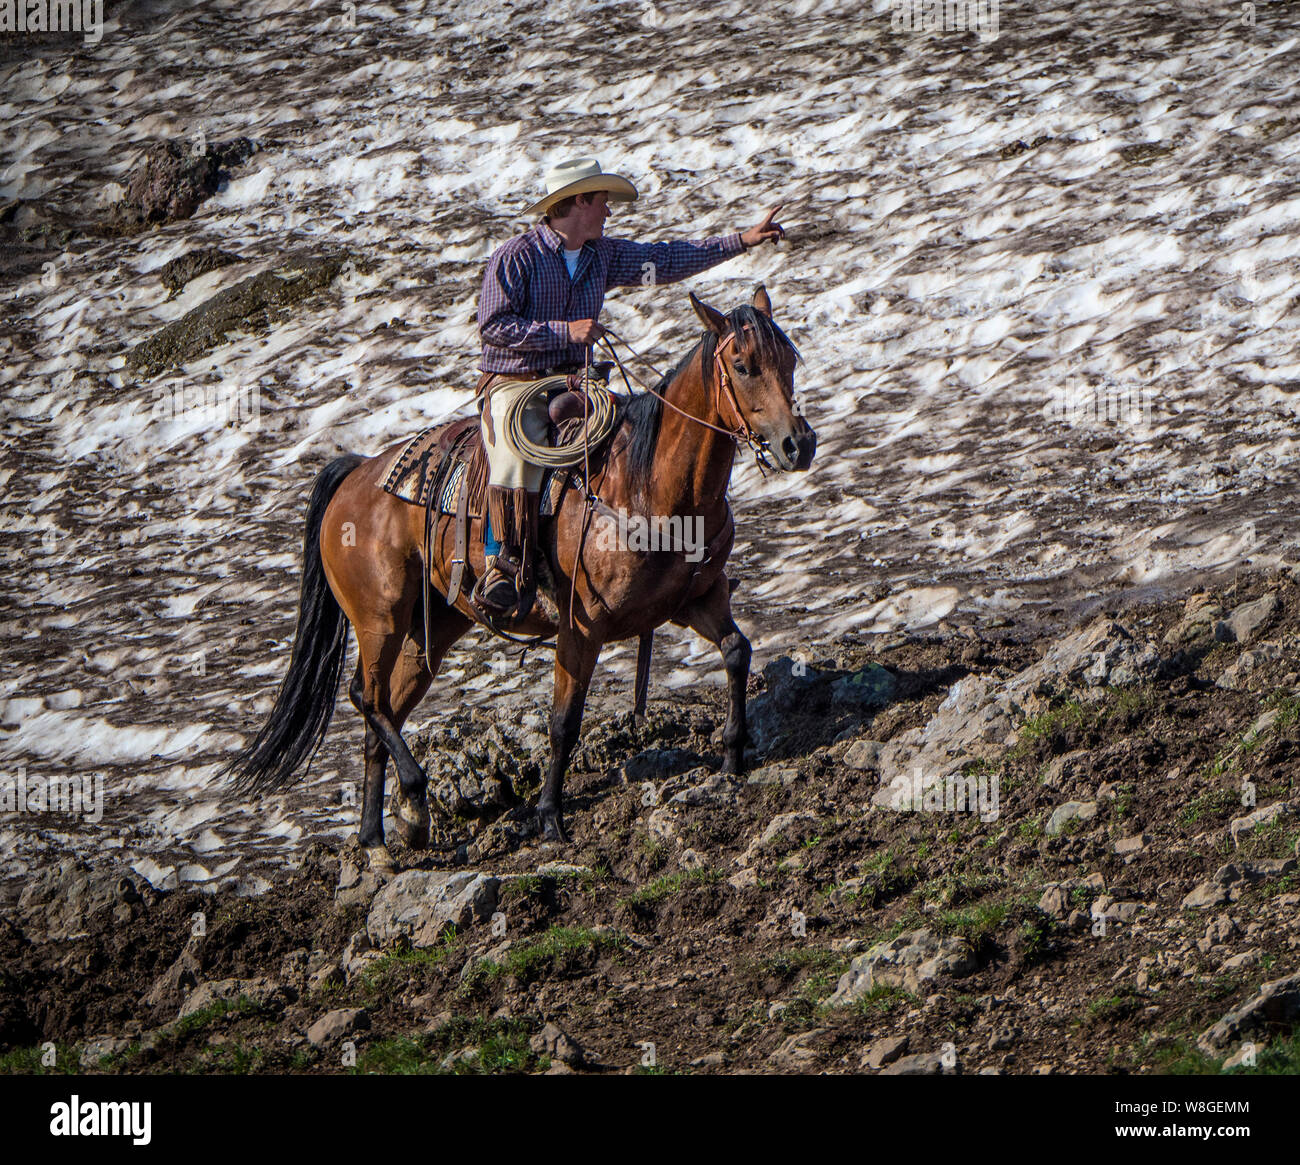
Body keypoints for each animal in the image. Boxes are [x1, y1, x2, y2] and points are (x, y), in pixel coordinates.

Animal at [226, 284, 816, 871]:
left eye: (789, 360)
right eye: (742, 365)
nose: (798, 444)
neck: (648, 486)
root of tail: (356, 474)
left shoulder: (696, 599)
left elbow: (737, 651)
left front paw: (733, 757)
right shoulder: (582, 628)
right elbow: (563, 723)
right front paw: (551, 817)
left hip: (430, 631)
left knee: (382, 709)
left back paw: (379, 839)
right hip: (380, 619)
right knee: (364, 697)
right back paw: (414, 801)